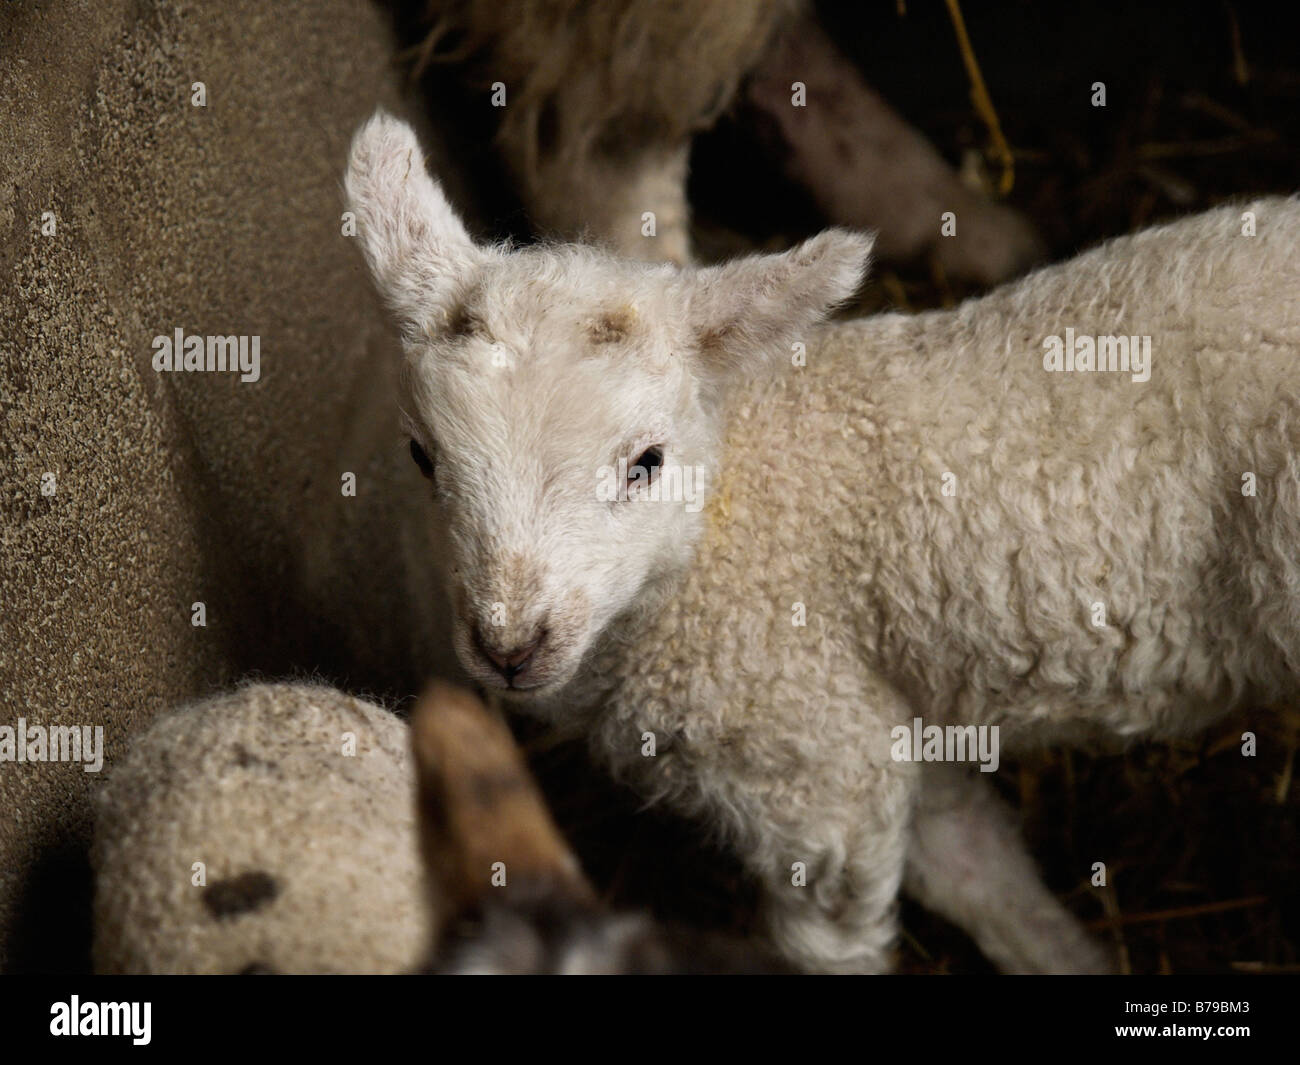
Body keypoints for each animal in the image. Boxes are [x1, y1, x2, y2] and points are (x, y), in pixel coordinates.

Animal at [346, 110, 1300, 973]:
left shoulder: (807, 753)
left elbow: (835, 935)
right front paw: (1071, 958)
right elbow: (975, 868)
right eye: (422, 456)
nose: (510, 645)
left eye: (647, 461)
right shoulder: (871, 704)